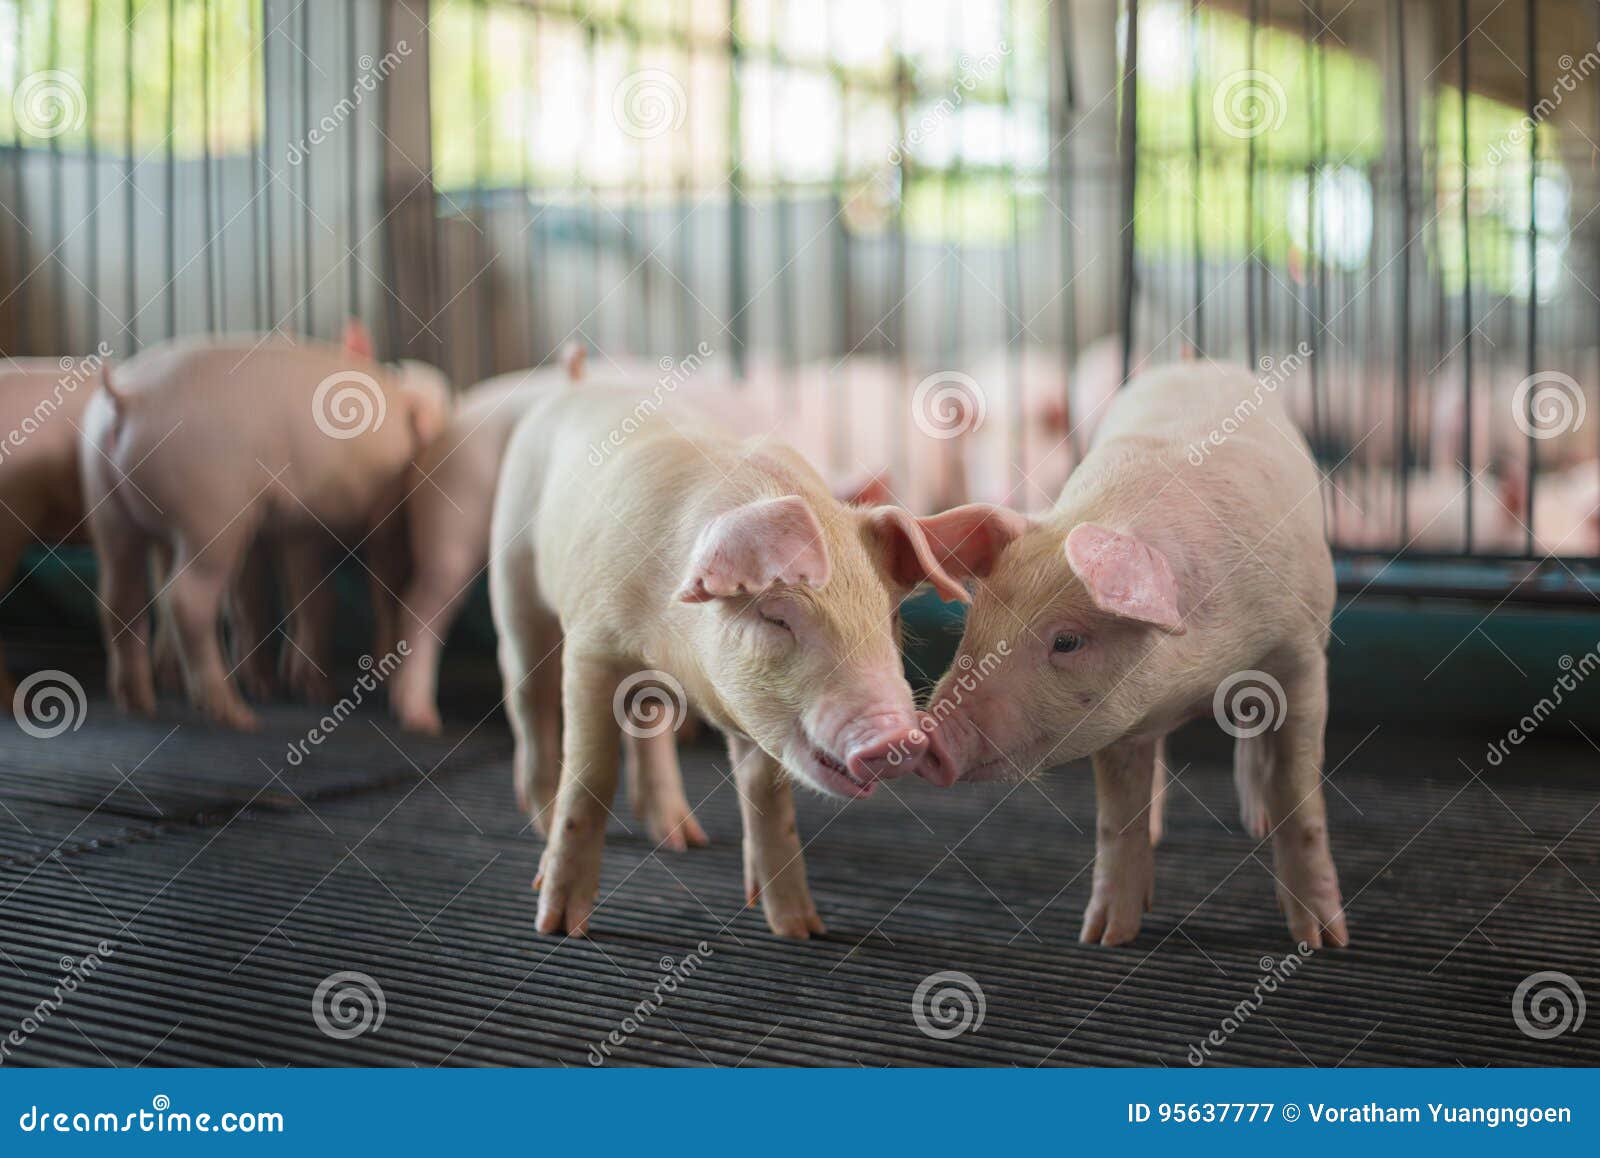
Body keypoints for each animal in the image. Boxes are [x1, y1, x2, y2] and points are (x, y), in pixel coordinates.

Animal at [79, 335, 449, 730]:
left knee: (119, 596)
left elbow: (313, 598)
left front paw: (317, 690)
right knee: (185, 598)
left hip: (105, 504)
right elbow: (386, 591)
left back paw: (138, 704)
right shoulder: (386, 518)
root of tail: (126, 398)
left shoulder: (300, 529)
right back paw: (236, 715)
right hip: (210, 509)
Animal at [489, 381, 967, 937]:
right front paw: (560, 926)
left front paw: (800, 928)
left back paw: (681, 838)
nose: (898, 736)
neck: (669, 638)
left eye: (888, 616)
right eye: (776, 617)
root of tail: (575, 382)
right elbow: (591, 775)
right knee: (529, 699)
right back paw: (542, 824)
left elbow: (768, 801)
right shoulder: (591, 643)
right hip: (513, 576)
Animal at [914, 360, 1349, 949]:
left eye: (1067, 641)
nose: (928, 735)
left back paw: (1255, 824)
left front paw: (1325, 940)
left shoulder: (1302, 656)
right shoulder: (1116, 722)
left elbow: (1298, 792)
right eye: (975, 623)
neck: (1199, 674)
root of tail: (1195, 359)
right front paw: (1104, 937)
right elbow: (1116, 818)